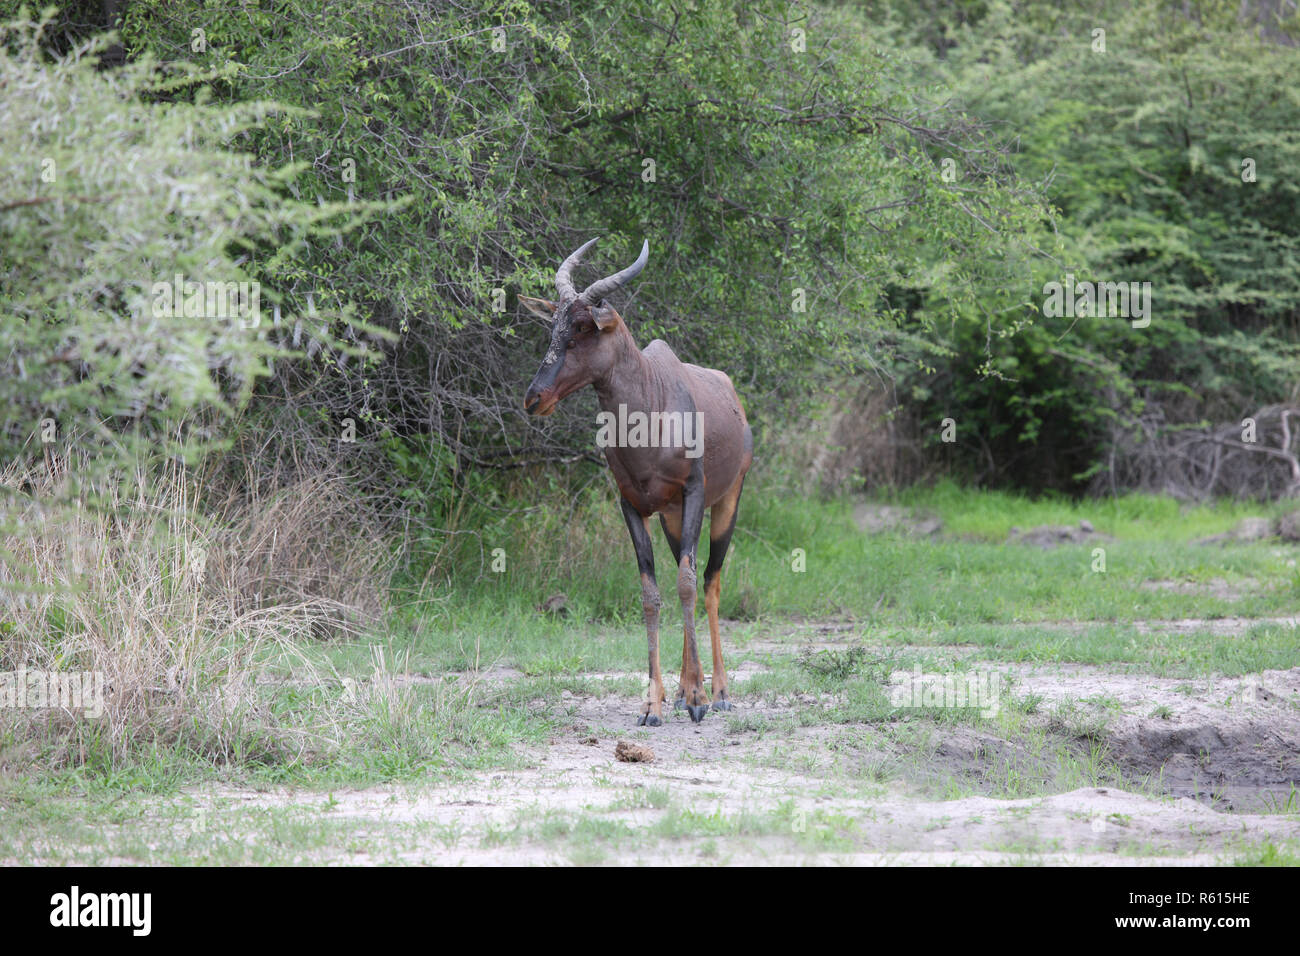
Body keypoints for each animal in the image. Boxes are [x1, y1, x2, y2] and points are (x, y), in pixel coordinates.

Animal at [522, 238, 754, 725]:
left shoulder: (693, 494)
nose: (534, 399)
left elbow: (688, 584)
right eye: (552, 327)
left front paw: (698, 700)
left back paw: (719, 692)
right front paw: (653, 703)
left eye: (583, 329)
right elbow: (651, 593)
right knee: (688, 575)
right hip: (670, 518)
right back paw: (684, 689)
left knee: (709, 582)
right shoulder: (631, 505)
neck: (654, 398)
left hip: (726, 502)